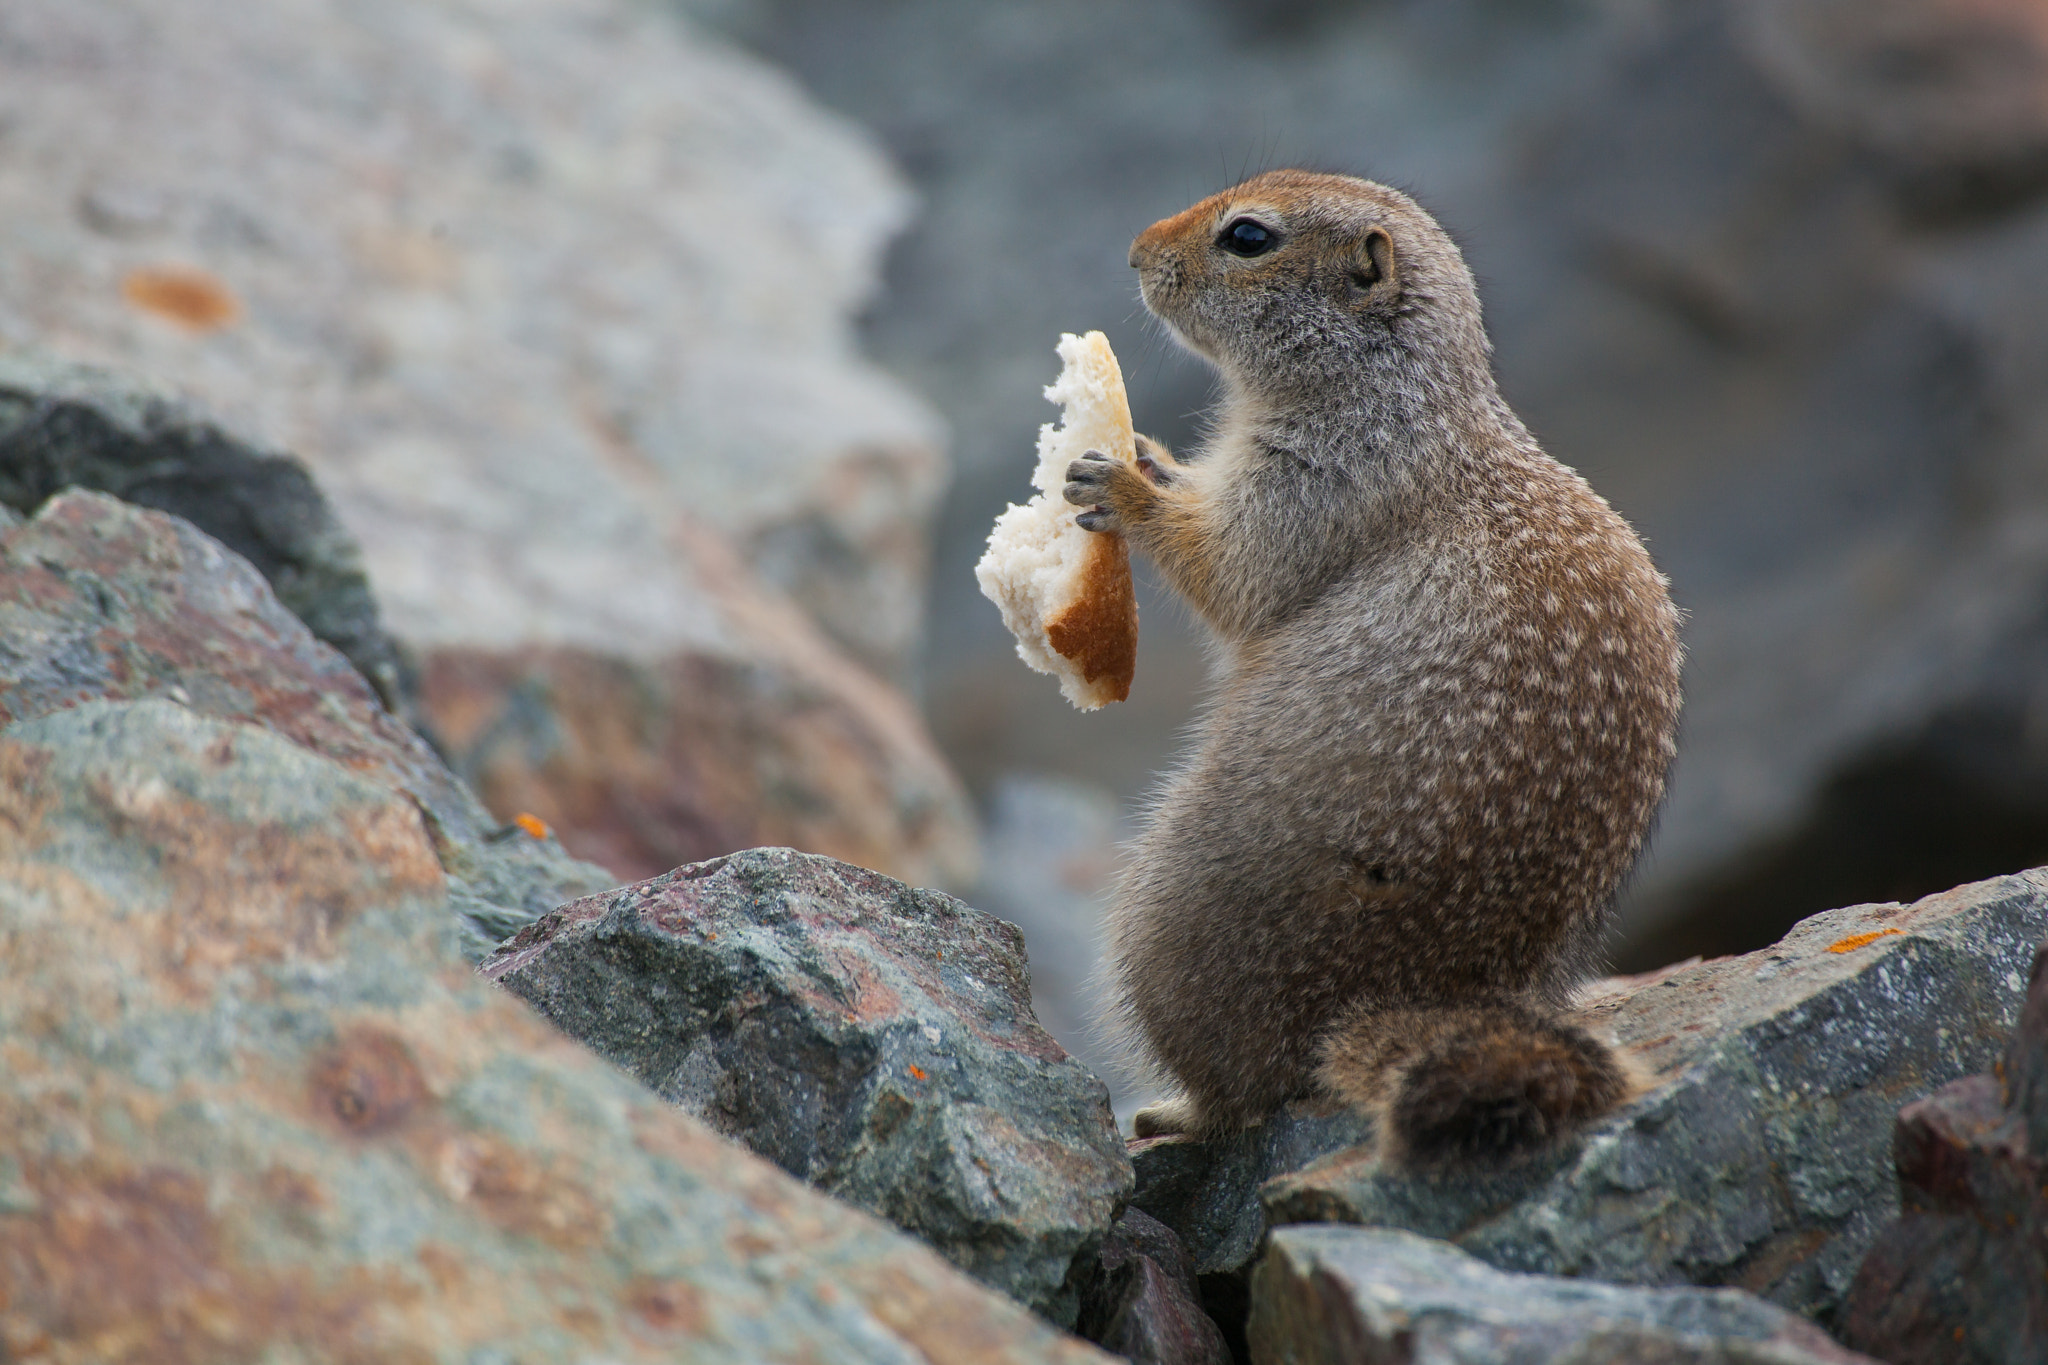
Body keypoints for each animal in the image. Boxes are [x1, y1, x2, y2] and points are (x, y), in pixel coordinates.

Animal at [1056, 170, 1679, 1170]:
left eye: (1248, 237)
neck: (1397, 391)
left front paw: (1126, 482)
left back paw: (1171, 1113)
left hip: (1160, 918)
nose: (1134, 252)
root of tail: (1407, 997)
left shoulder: (1323, 480)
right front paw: (1150, 454)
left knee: (1247, 1098)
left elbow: (1234, 565)